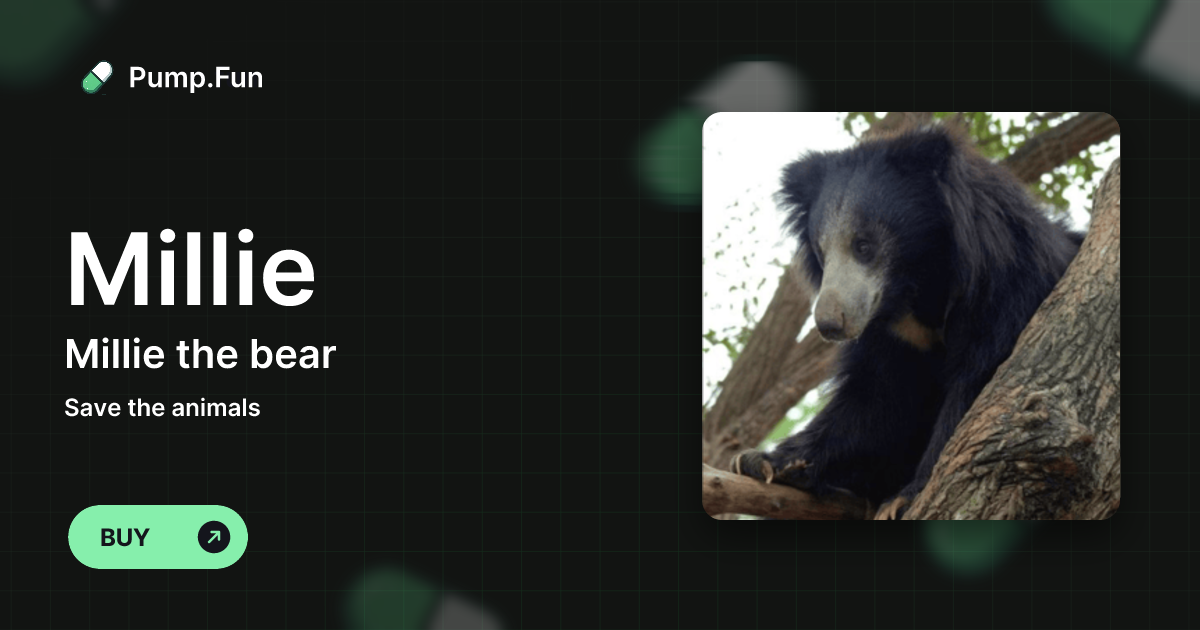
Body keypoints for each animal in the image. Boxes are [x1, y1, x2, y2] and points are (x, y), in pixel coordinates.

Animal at [729, 122, 1084, 519]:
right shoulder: (893, 338)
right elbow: (877, 400)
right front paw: (764, 461)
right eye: (821, 251)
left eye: (863, 245)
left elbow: (982, 387)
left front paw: (905, 497)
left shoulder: (1010, 292)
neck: (917, 289)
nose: (830, 325)